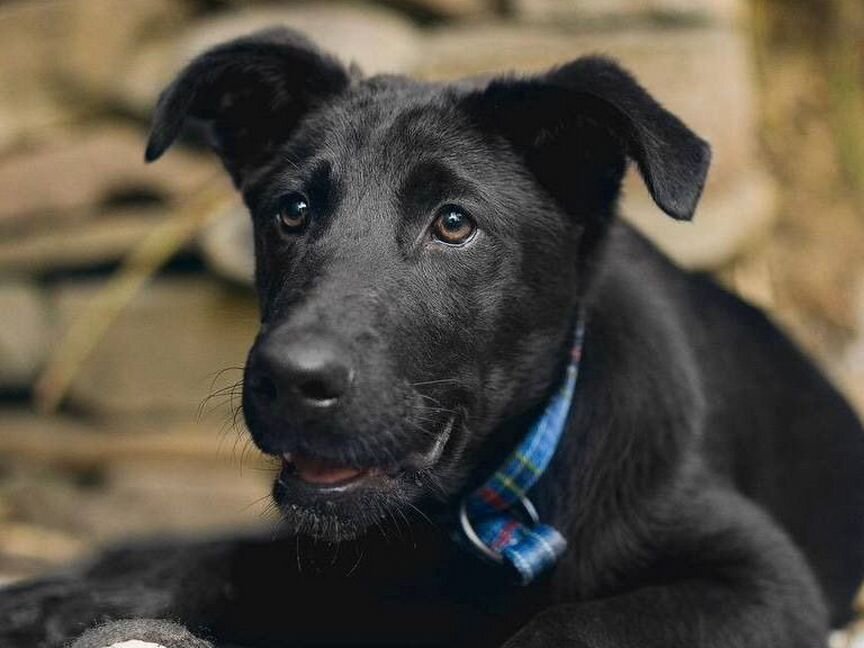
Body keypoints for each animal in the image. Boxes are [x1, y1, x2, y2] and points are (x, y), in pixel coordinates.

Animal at [1, 26, 864, 648]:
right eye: (291, 211)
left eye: (454, 224)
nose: (289, 380)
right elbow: (232, 561)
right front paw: (59, 599)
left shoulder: (764, 582)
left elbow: (572, 625)